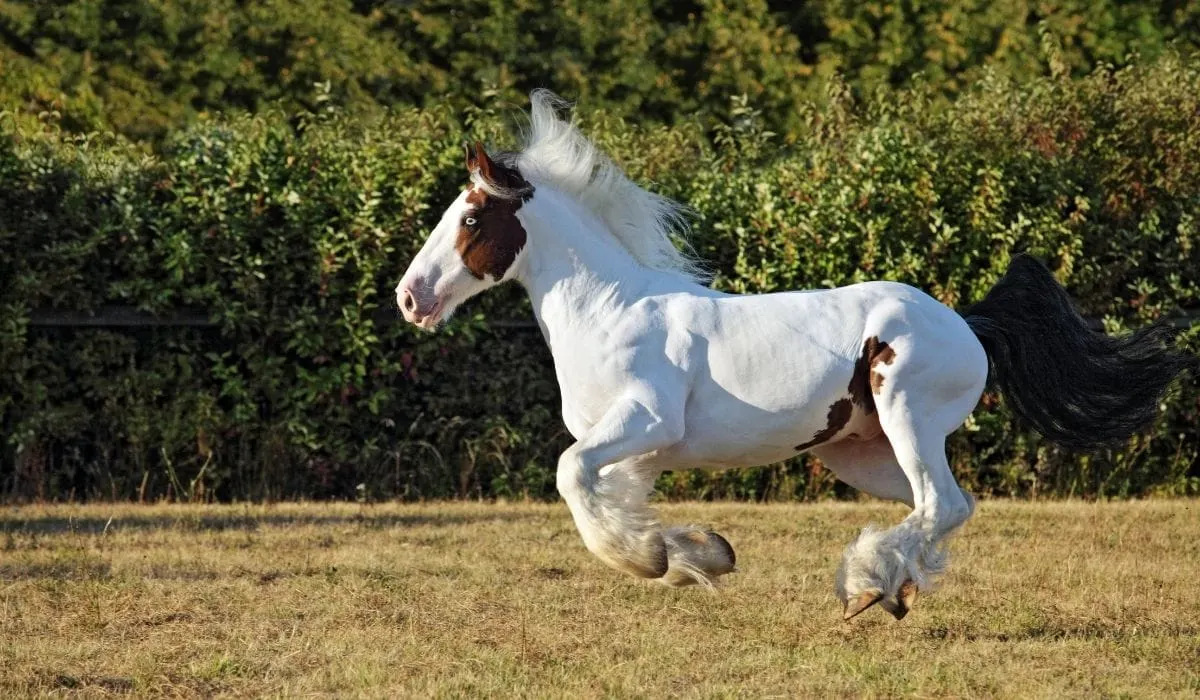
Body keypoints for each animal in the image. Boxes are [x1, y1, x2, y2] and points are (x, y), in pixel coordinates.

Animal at [395, 90, 1196, 620]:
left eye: (471, 219)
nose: (410, 298)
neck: (609, 311)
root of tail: (965, 322)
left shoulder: (644, 423)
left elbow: (571, 478)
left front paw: (655, 559)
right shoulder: (634, 451)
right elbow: (608, 496)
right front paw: (697, 555)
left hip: (908, 417)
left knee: (942, 502)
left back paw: (867, 586)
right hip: (860, 453)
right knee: (940, 508)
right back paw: (891, 588)